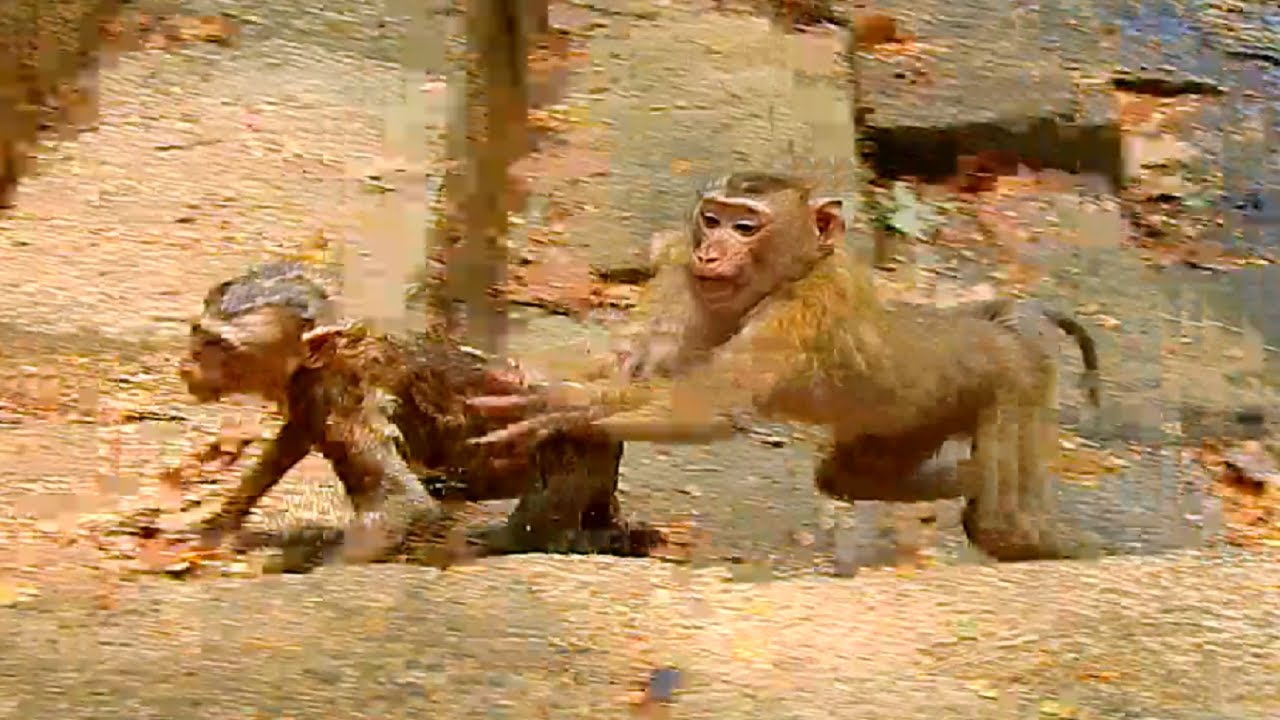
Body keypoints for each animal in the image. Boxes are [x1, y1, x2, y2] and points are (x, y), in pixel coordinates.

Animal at [177, 262, 658, 571]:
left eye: (220, 347)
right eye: (199, 335)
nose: (189, 365)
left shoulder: (347, 399)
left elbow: (402, 505)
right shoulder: (311, 396)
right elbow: (289, 443)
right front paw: (221, 524)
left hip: (574, 445)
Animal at [466, 172, 1107, 563]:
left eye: (745, 226)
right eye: (711, 219)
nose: (710, 252)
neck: (789, 274)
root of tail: (994, 331)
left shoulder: (805, 311)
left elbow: (709, 404)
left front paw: (559, 405)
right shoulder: (683, 276)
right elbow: (636, 363)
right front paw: (535, 377)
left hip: (1015, 378)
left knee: (1000, 523)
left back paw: (1044, 543)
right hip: (914, 418)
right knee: (843, 476)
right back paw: (961, 481)